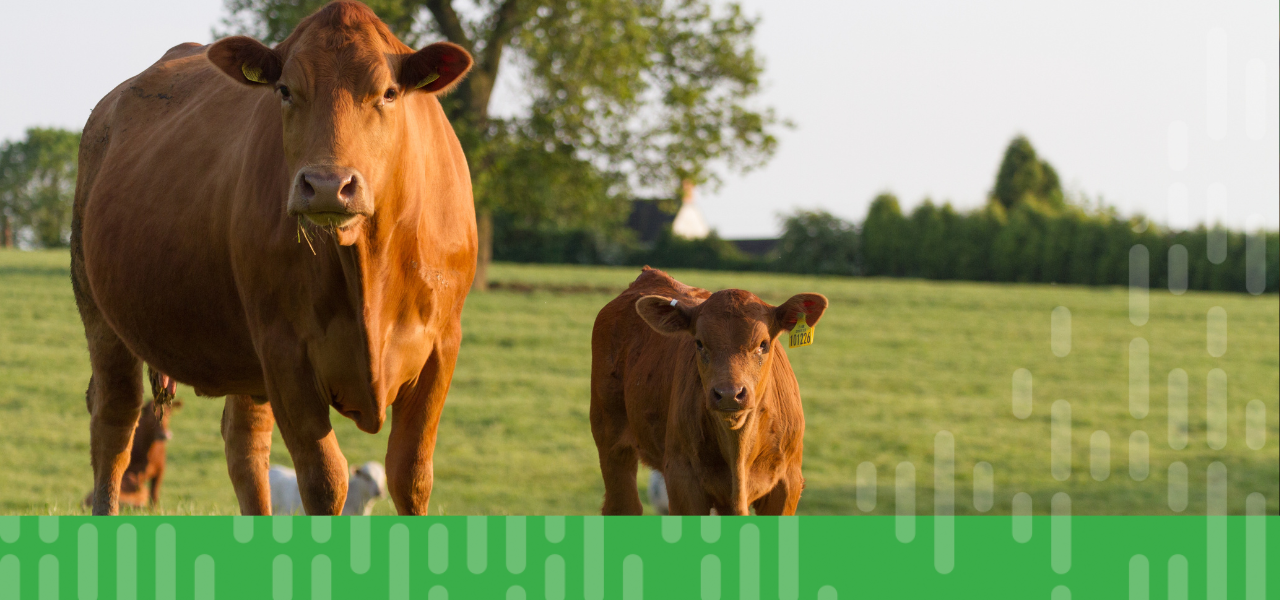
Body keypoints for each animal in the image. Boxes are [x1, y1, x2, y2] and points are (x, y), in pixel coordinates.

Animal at [72, 0, 477, 515]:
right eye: (285, 90)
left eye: (388, 92)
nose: (327, 185)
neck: (367, 263)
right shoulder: (285, 350)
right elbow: (325, 480)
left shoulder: (442, 347)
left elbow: (411, 475)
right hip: (100, 311)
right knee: (115, 421)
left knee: (245, 448)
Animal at [590, 267, 827, 515]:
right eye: (699, 343)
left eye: (763, 344)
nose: (729, 394)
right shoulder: (682, 480)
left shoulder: (787, 484)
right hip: (610, 439)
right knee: (623, 504)